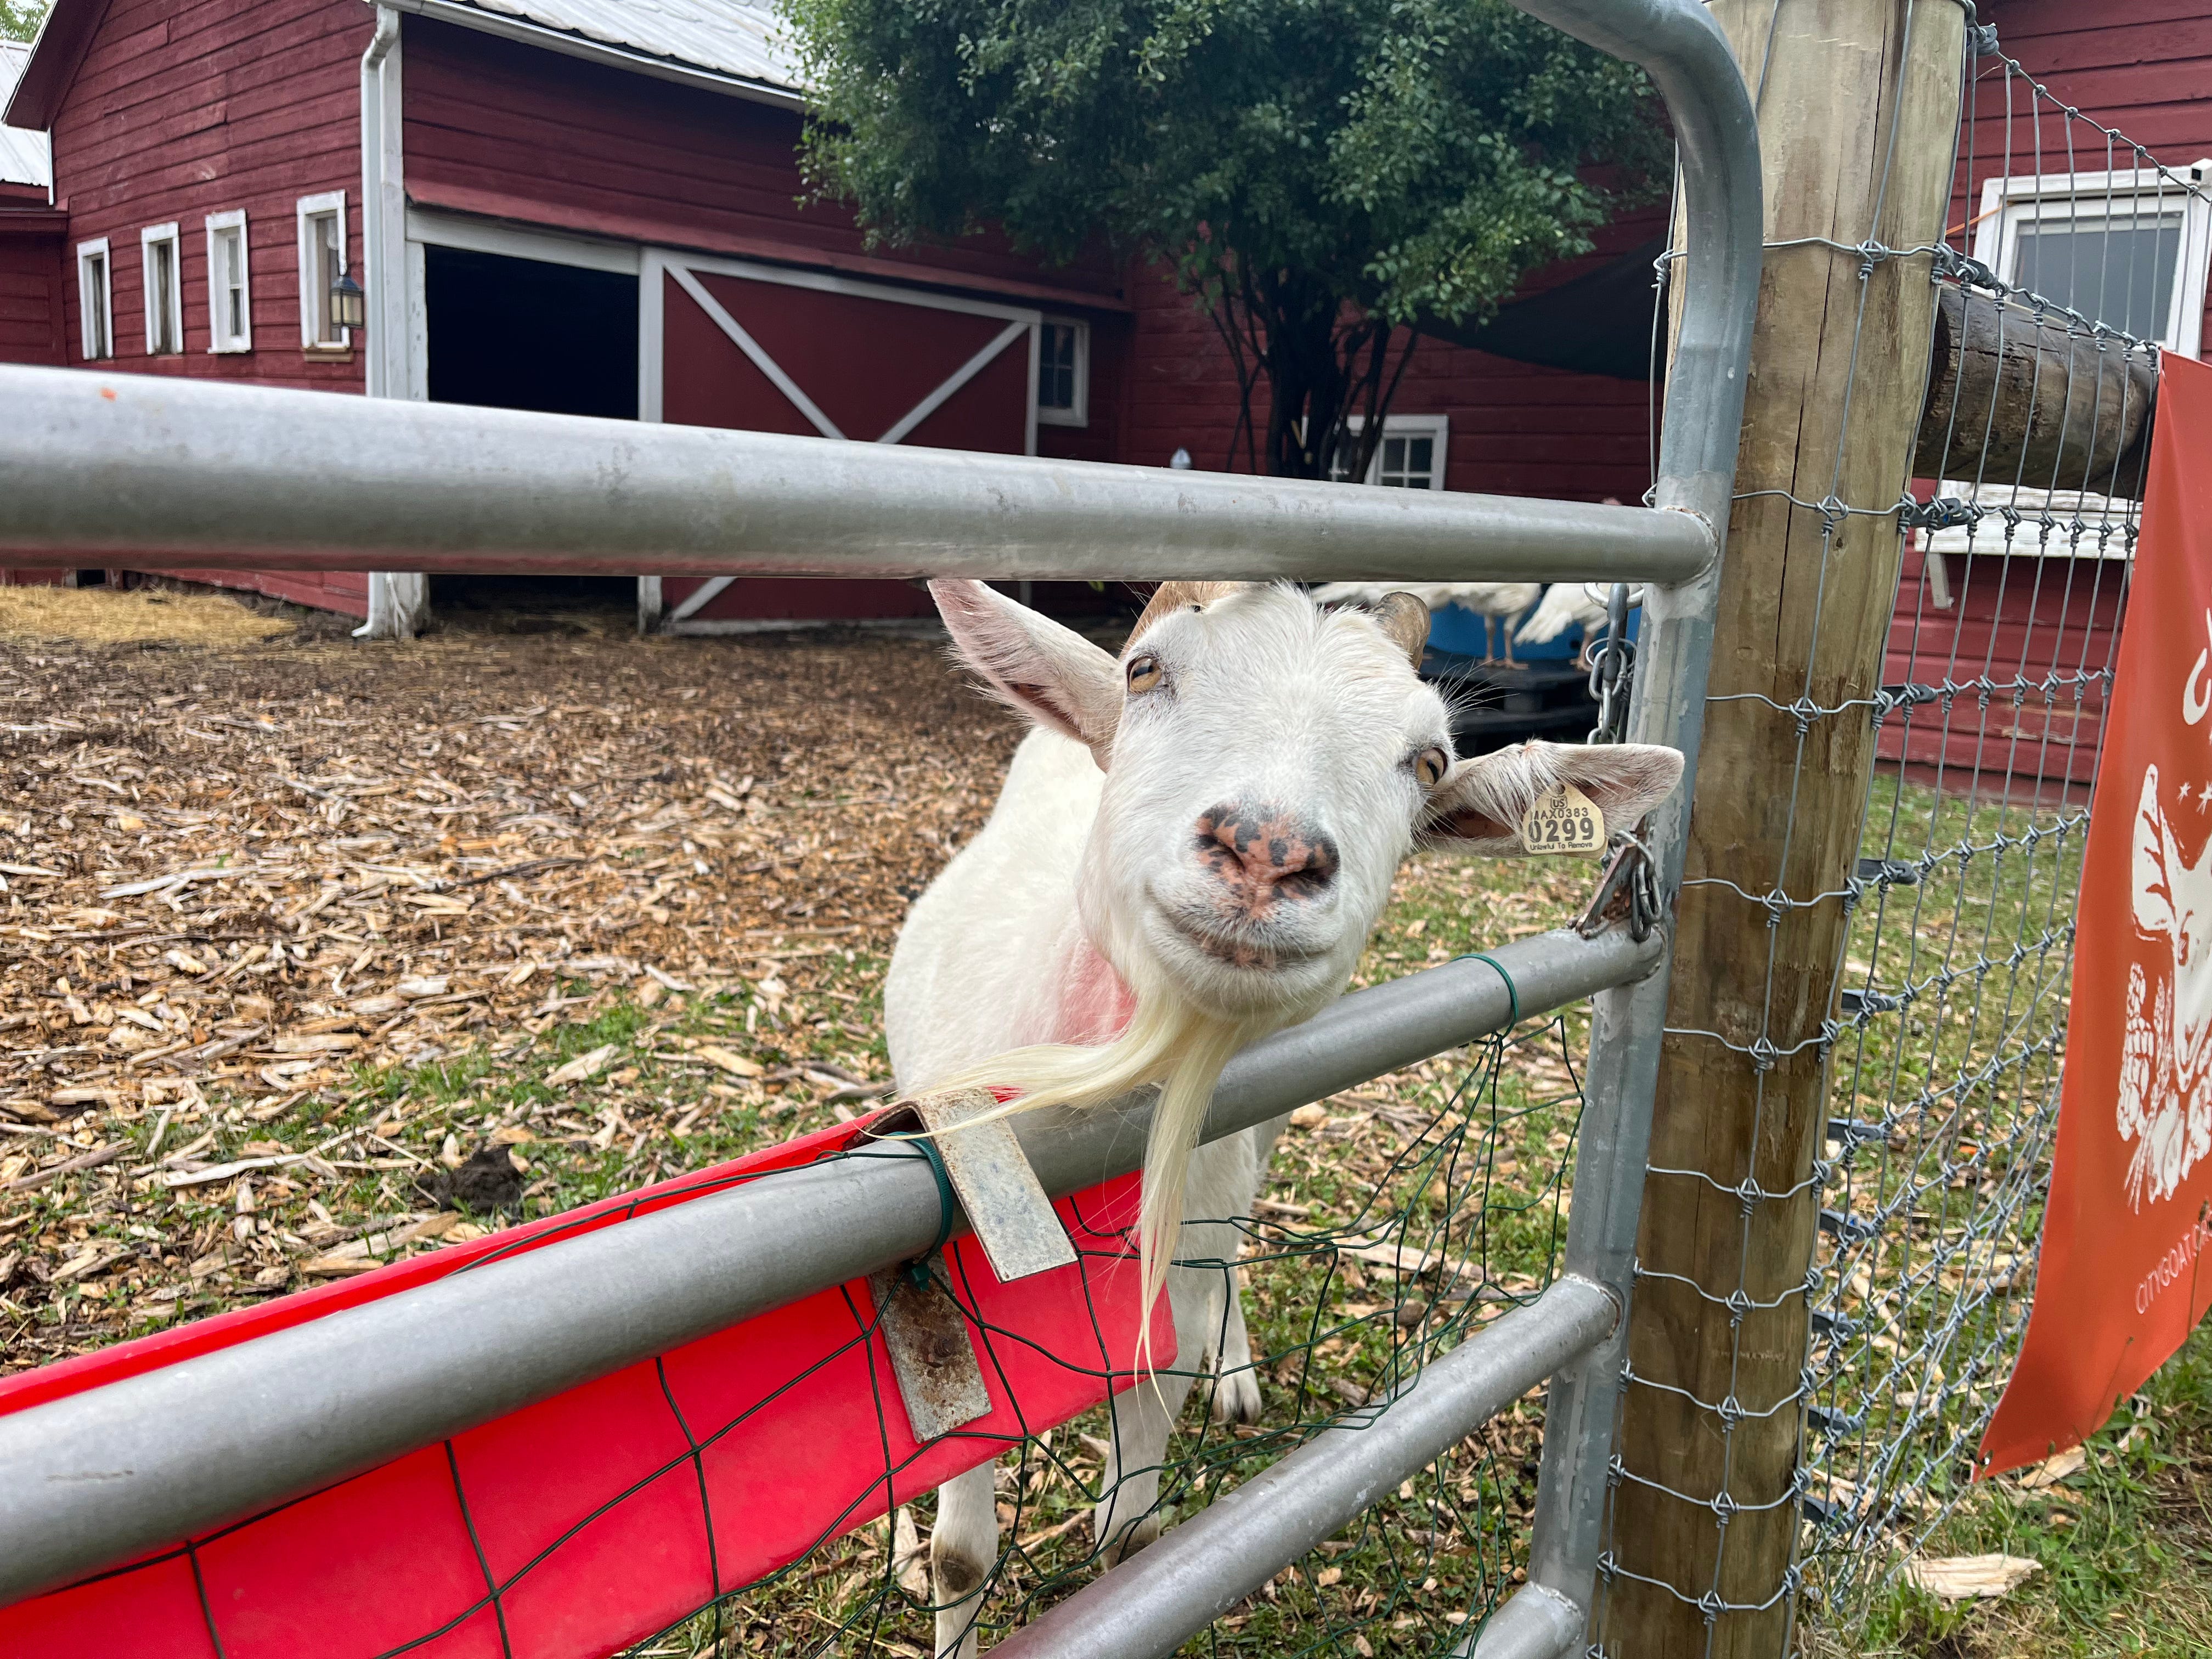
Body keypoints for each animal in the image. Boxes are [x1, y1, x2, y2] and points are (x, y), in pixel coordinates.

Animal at [884, 579, 1683, 1658]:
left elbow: (1131, 1534)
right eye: (1148, 670)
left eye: (1428, 761)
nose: (1269, 852)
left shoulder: (1166, 1286)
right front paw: (926, 1551)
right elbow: (963, 1551)